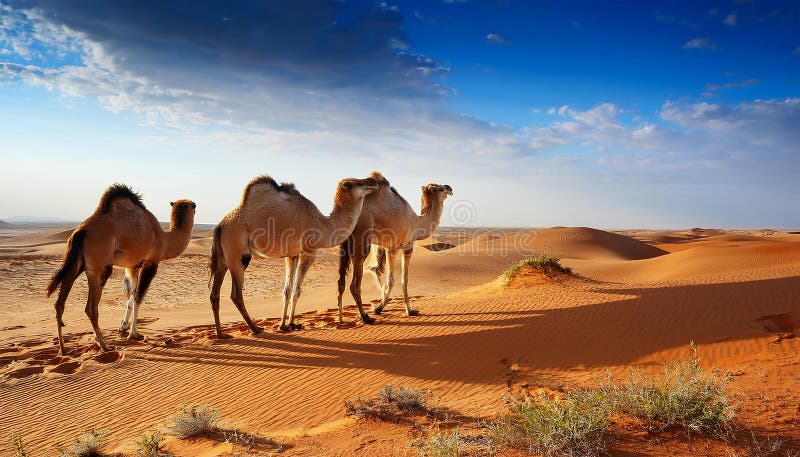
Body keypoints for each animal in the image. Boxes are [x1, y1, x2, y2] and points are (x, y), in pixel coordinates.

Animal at [46, 184, 196, 354]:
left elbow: (130, 294)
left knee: (60, 303)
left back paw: (63, 349)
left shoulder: (132, 266)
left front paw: (125, 327)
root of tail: (81, 232)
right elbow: (137, 297)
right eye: (193, 206)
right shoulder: (151, 262)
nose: (195, 205)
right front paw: (133, 333)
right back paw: (104, 346)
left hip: (75, 262)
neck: (165, 239)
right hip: (101, 267)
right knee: (91, 307)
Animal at [208, 174, 379, 337]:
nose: (373, 181)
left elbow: (287, 290)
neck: (322, 225)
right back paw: (255, 328)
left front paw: (284, 325)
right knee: (236, 295)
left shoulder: (292, 255)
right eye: (354, 183)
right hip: (239, 255)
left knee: (215, 294)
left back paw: (221, 334)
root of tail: (220, 226)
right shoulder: (308, 253)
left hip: (224, 260)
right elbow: (297, 289)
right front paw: (291, 323)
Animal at [337, 175, 452, 324]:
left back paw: (341, 319)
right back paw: (365, 317)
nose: (450, 187)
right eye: (441, 188)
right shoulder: (404, 246)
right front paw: (408, 310)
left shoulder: (387, 246)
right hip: (361, 241)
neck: (417, 222)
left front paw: (380, 306)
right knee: (354, 284)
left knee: (342, 281)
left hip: (348, 244)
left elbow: (383, 275)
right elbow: (401, 280)